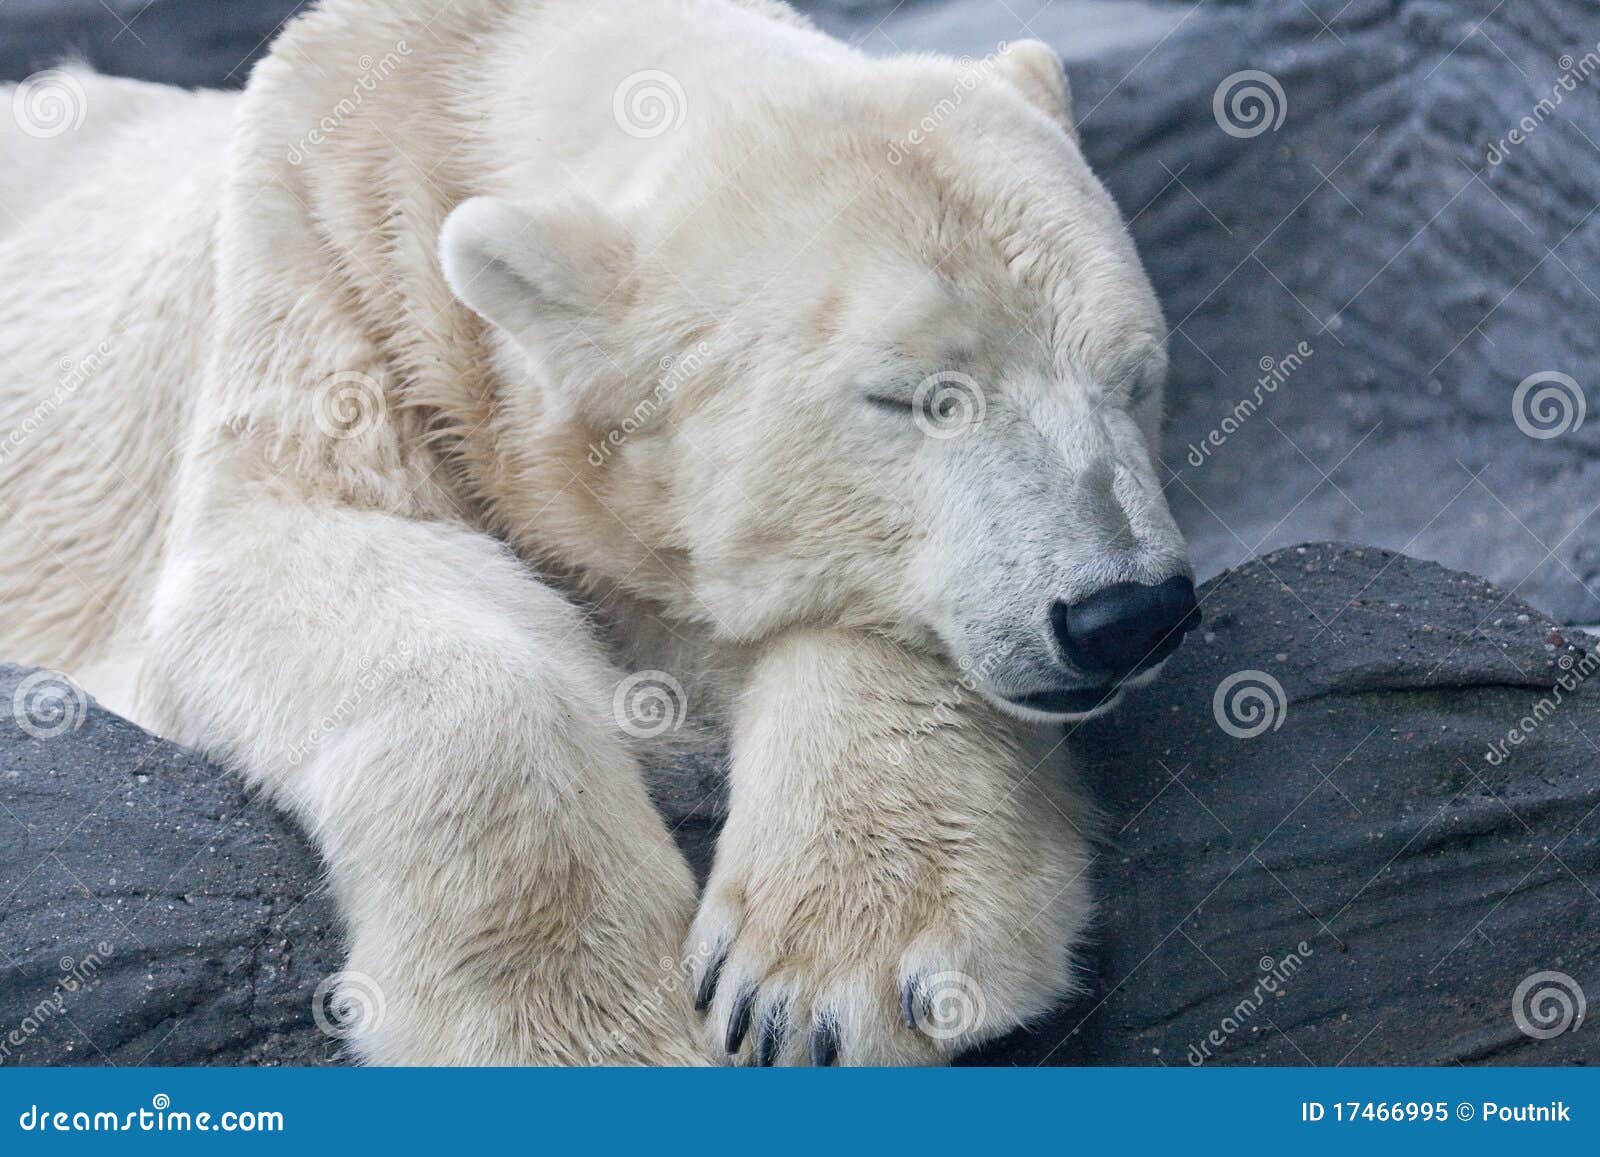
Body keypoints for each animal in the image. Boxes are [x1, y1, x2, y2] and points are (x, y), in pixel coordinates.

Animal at [0, 0, 1196, 1065]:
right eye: (915, 398)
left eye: (1134, 376)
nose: (1125, 611)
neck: (453, 68)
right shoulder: (322, 271)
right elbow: (293, 557)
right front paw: (584, 1028)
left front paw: (822, 979)